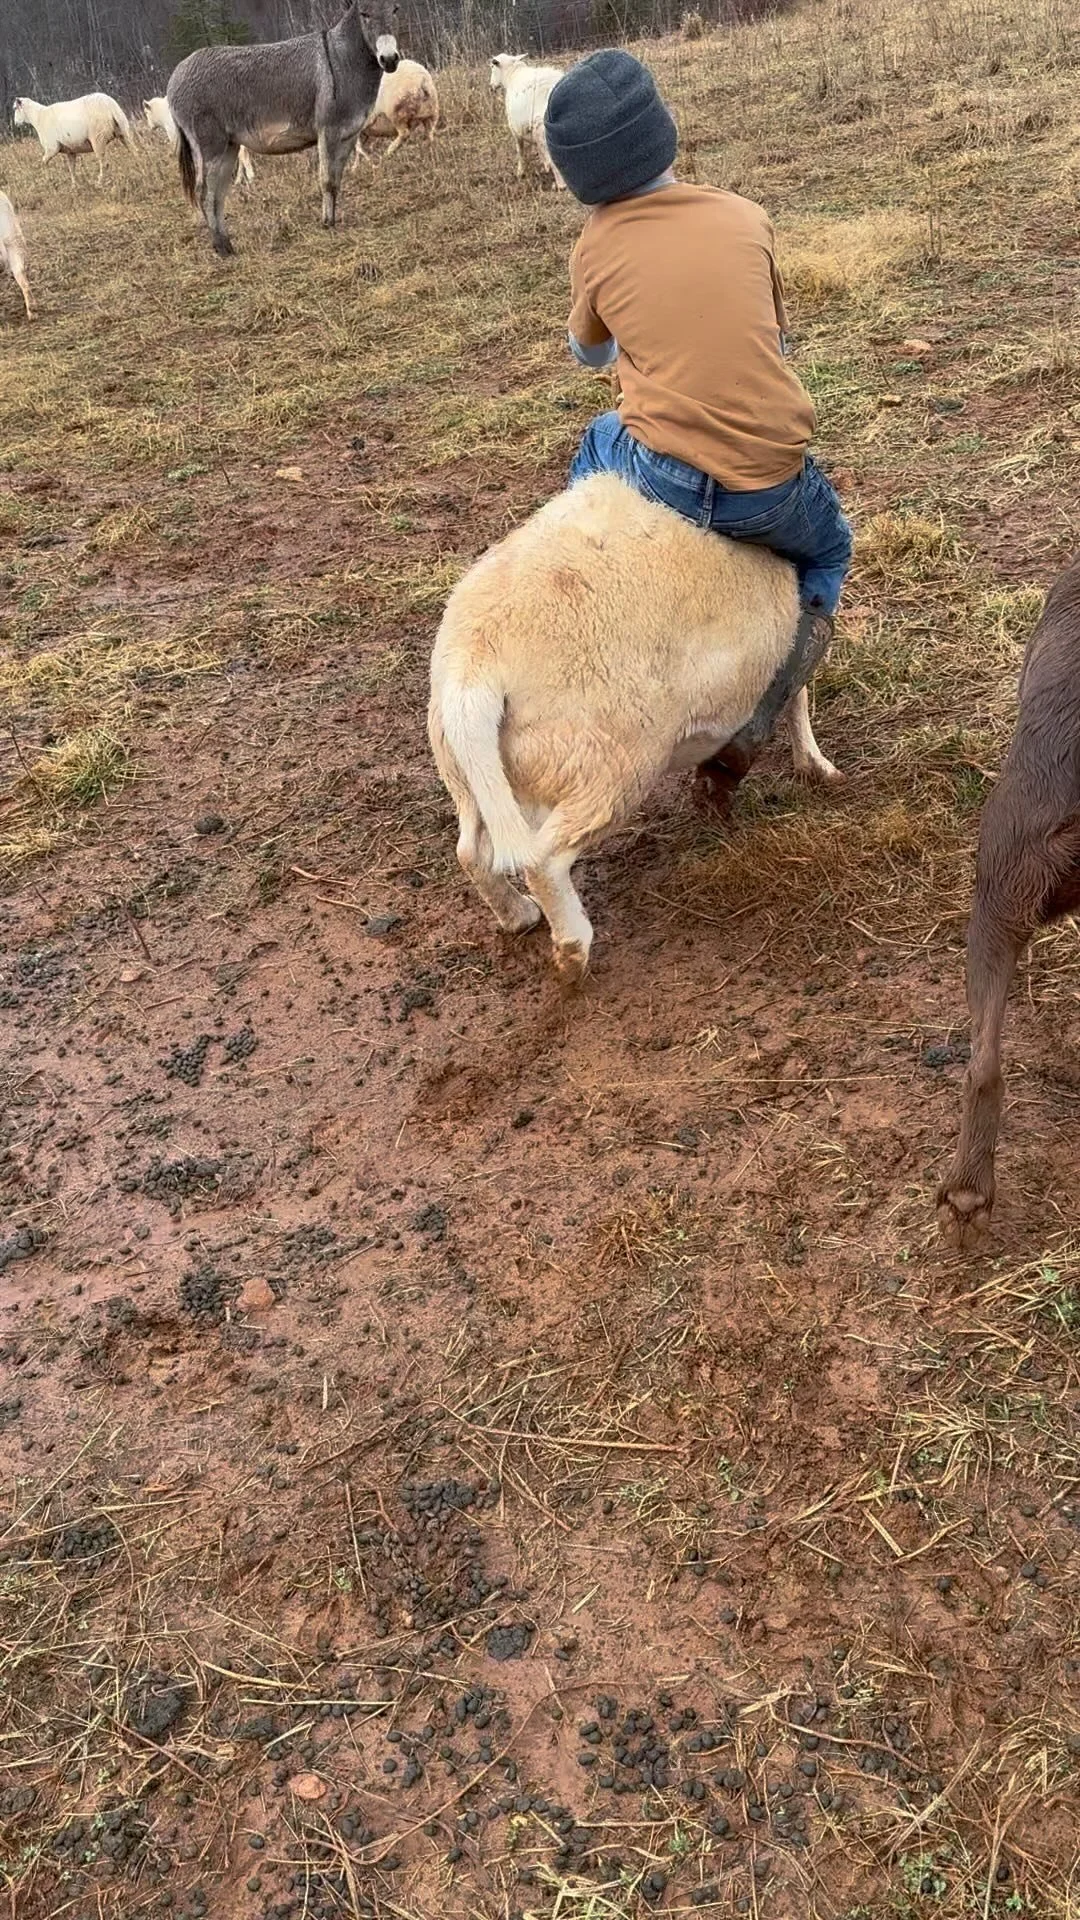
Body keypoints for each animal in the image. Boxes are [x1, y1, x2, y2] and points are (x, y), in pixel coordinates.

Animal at [428, 473, 839, 982]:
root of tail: (474, 667)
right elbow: (798, 693)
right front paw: (815, 766)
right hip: (608, 763)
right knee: (543, 861)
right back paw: (573, 951)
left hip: (474, 777)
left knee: (472, 852)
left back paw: (519, 915)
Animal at [489, 53, 565, 187]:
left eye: (492, 67)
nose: (491, 86)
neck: (512, 74)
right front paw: (545, 167)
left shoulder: (515, 128)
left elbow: (520, 150)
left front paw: (520, 172)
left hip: (542, 129)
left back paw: (561, 185)